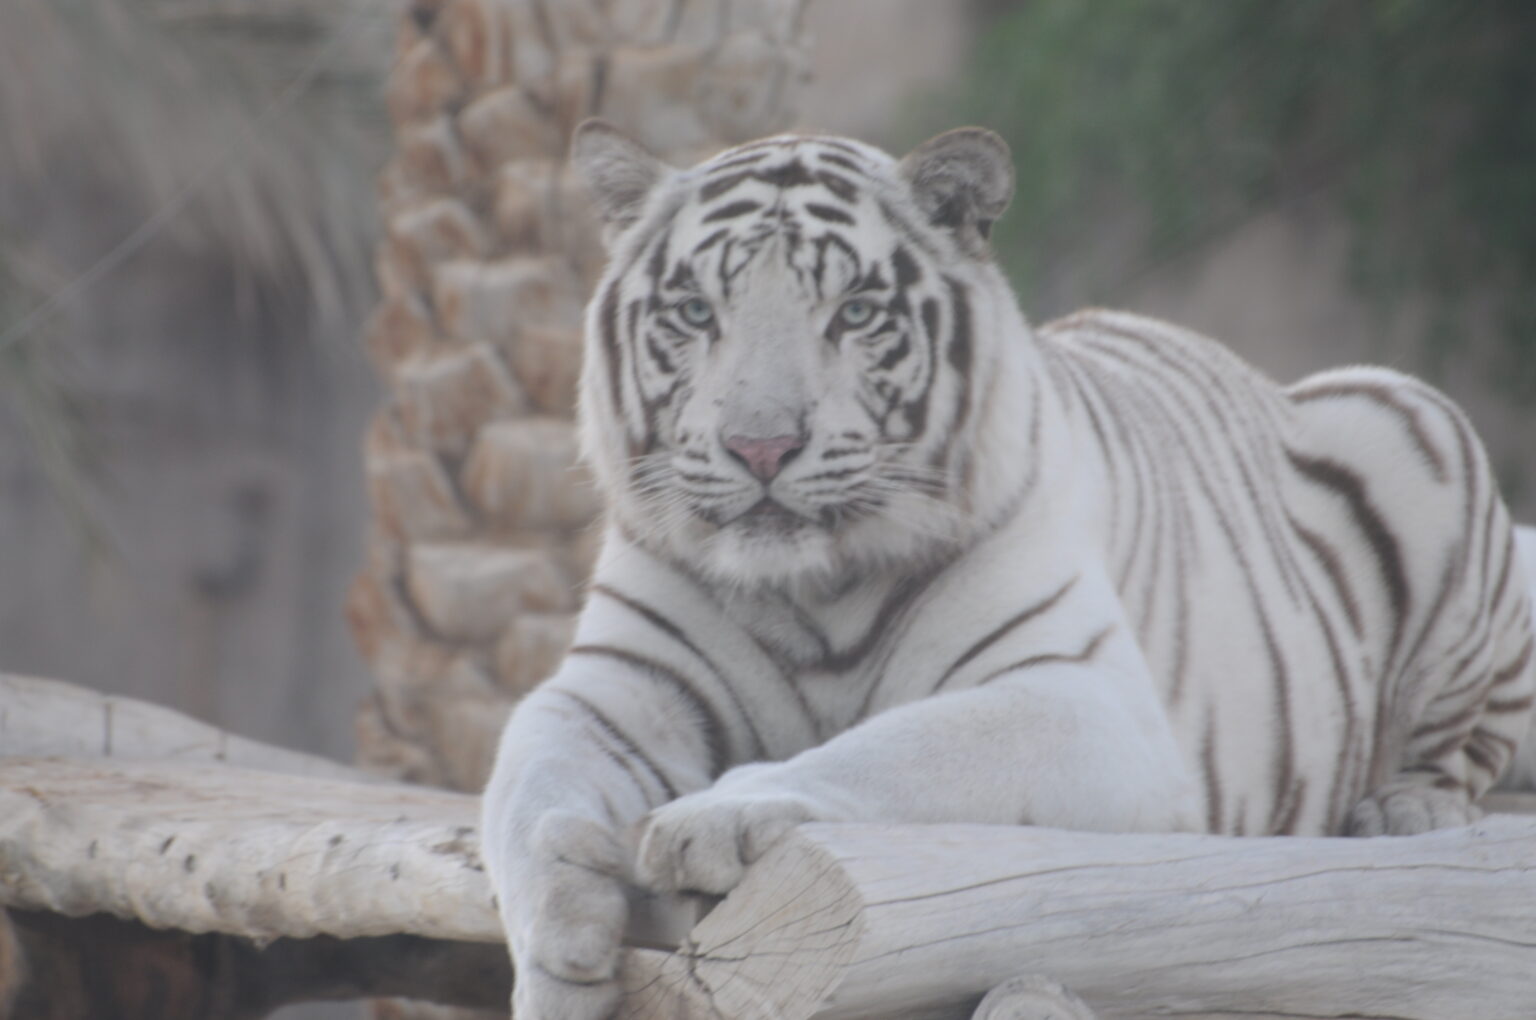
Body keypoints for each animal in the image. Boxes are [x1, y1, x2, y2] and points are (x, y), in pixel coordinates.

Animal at [480, 120, 1536, 1019]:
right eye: (698, 311)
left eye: (853, 312)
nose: (762, 447)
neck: (814, 588)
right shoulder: (614, 688)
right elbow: (523, 791)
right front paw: (563, 942)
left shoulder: (1085, 701)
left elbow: (904, 746)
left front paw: (714, 814)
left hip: (1408, 418)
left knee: (1469, 744)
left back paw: (1401, 807)